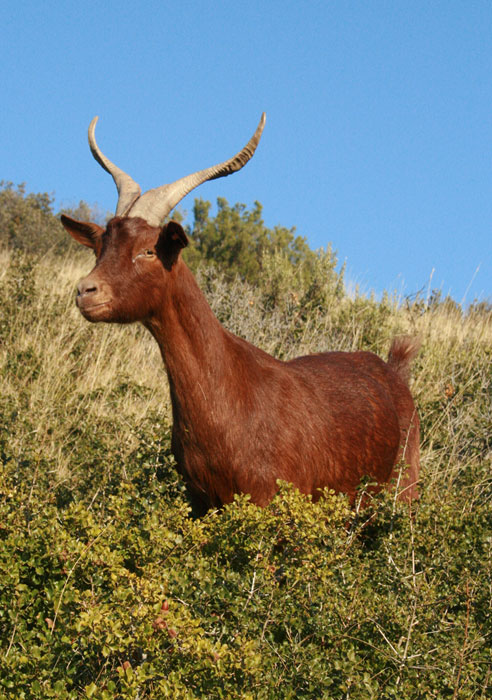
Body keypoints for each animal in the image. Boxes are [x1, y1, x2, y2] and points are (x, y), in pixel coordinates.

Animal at [61, 114, 420, 514]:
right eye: (100, 247)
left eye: (149, 251)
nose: (86, 291)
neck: (229, 397)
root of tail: (394, 371)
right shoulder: (201, 502)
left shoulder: (270, 498)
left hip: (405, 488)